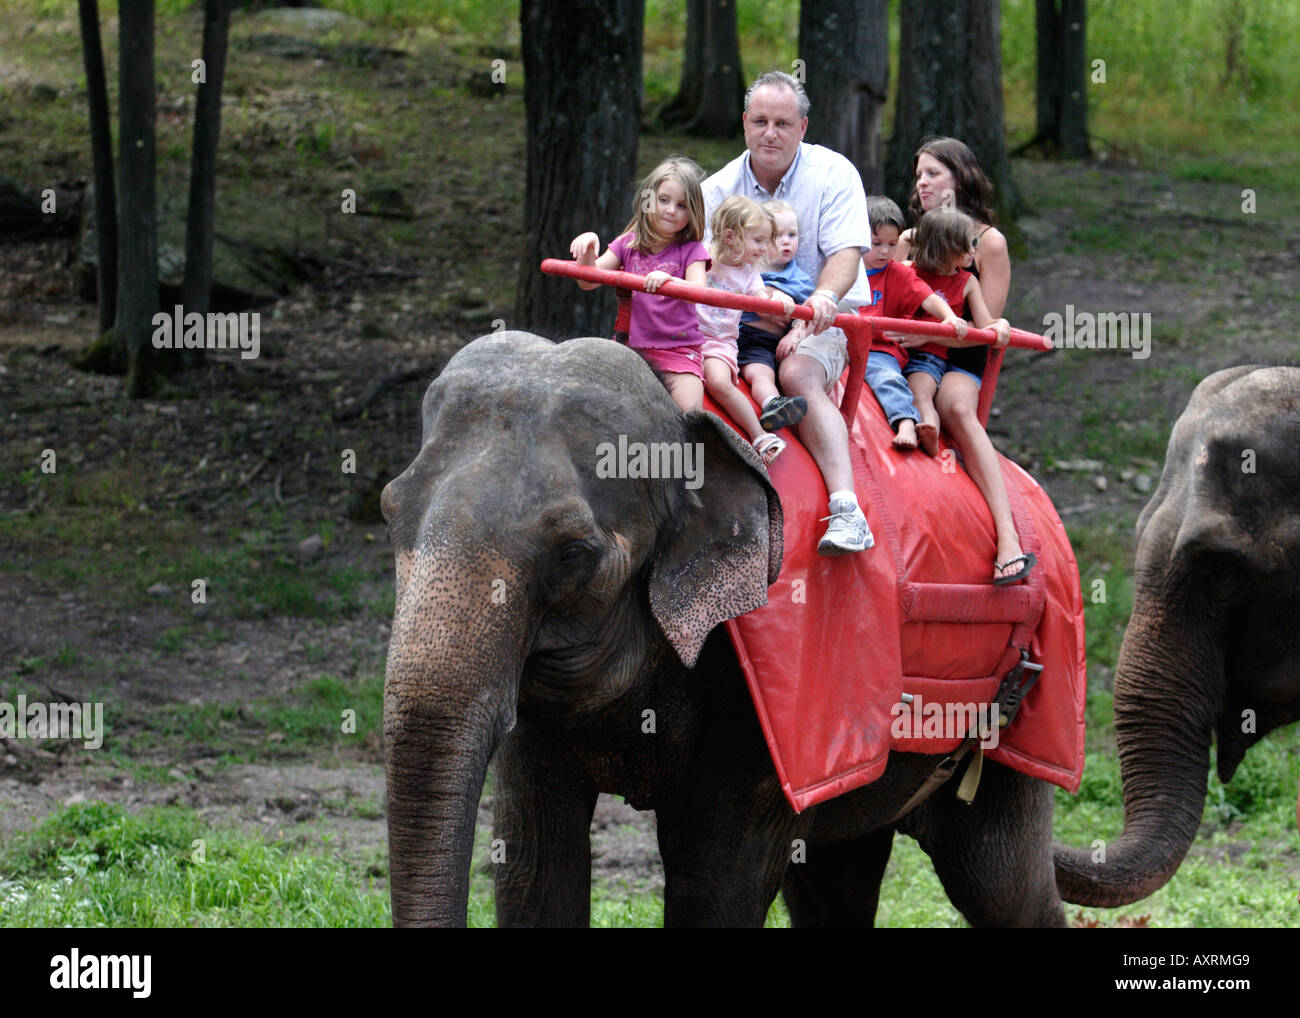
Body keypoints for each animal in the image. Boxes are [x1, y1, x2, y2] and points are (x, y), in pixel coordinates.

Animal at [381, 330, 1067, 927]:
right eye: (389, 511)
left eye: (575, 553)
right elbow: (535, 866)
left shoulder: (769, 713)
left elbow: (714, 878)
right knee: (835, 880)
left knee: (1003, 886)